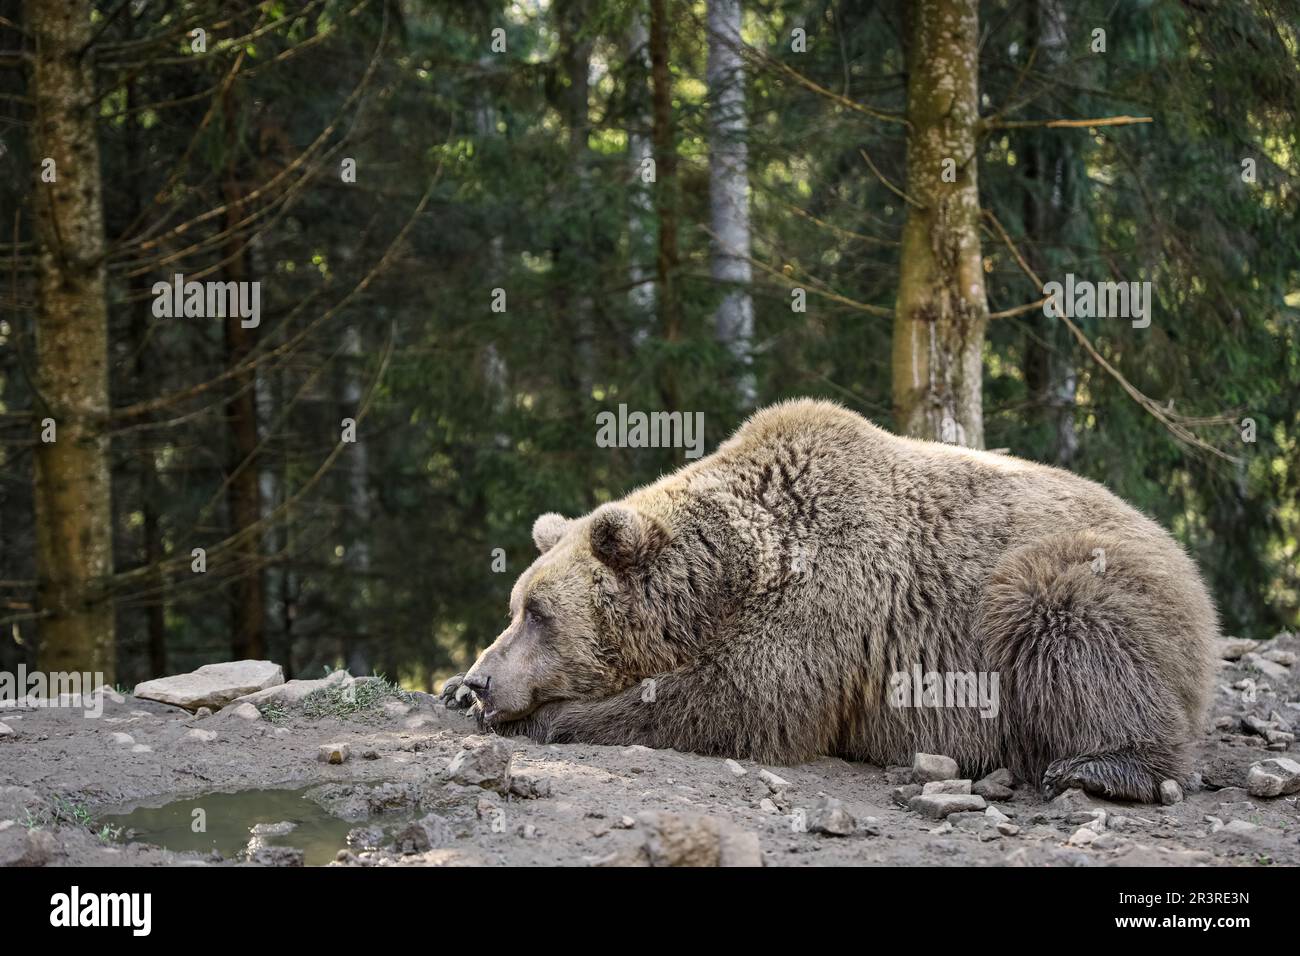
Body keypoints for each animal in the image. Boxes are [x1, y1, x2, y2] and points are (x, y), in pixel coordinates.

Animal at [442, 399, 1217, 803]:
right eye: (515, 606)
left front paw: (553, 719)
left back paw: (1101, 767)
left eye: (541, 613)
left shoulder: (829, 608)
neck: (728, 575)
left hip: (1071, 574)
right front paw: (451, 688)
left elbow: (737, 702)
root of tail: (1183, 557)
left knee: (1064, 619)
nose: (483, 680)